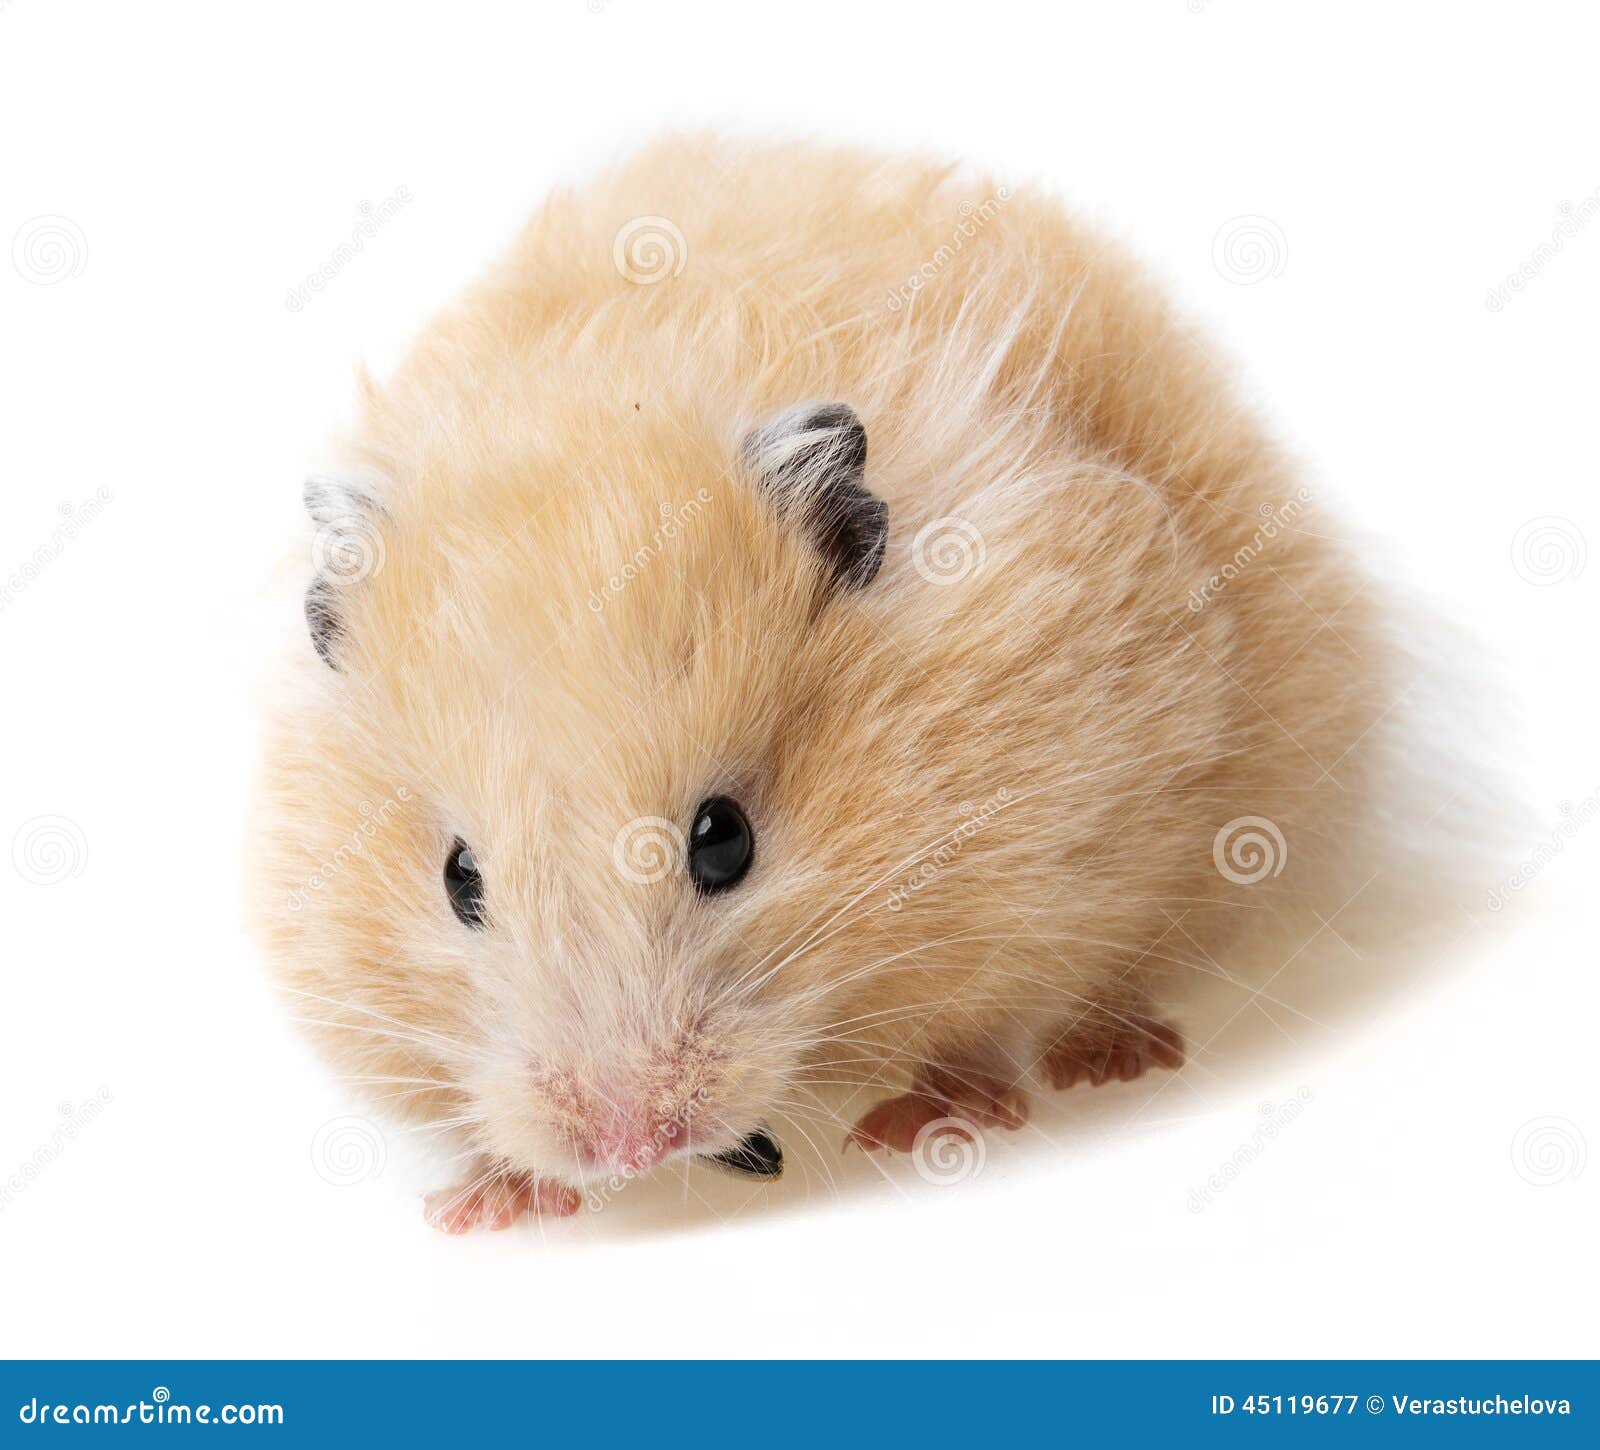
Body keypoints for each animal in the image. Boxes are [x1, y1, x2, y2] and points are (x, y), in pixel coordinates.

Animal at [255, 137, 1389, 1231]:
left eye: (724, 840)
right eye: (460, 881)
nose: (632, 1144)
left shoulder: (1063, 849)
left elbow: (994, 1006)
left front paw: (924, 1121)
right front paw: (484, 1207)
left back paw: (1108, 1062)